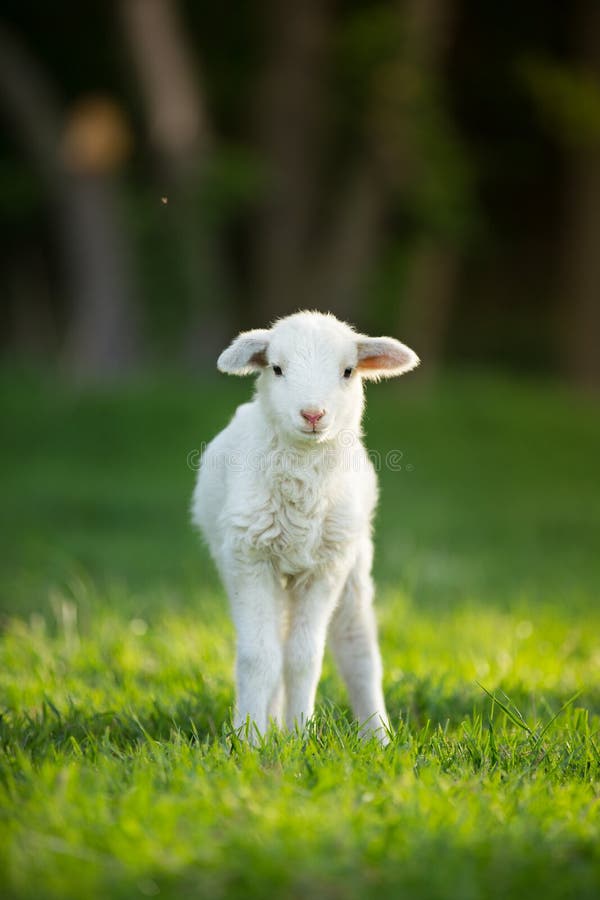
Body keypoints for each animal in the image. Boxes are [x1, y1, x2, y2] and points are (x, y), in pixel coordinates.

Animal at [192, 311, 419, 741]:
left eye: (348, 371)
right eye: (277, 368)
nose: (313, 414)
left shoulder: (326, 567)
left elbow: (303, 657)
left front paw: (299, 736)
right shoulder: (250, 559)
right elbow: (259, 657)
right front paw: (250, 739)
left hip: (353, 561)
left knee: (357, 648)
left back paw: (378, 737)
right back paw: (272, 725)